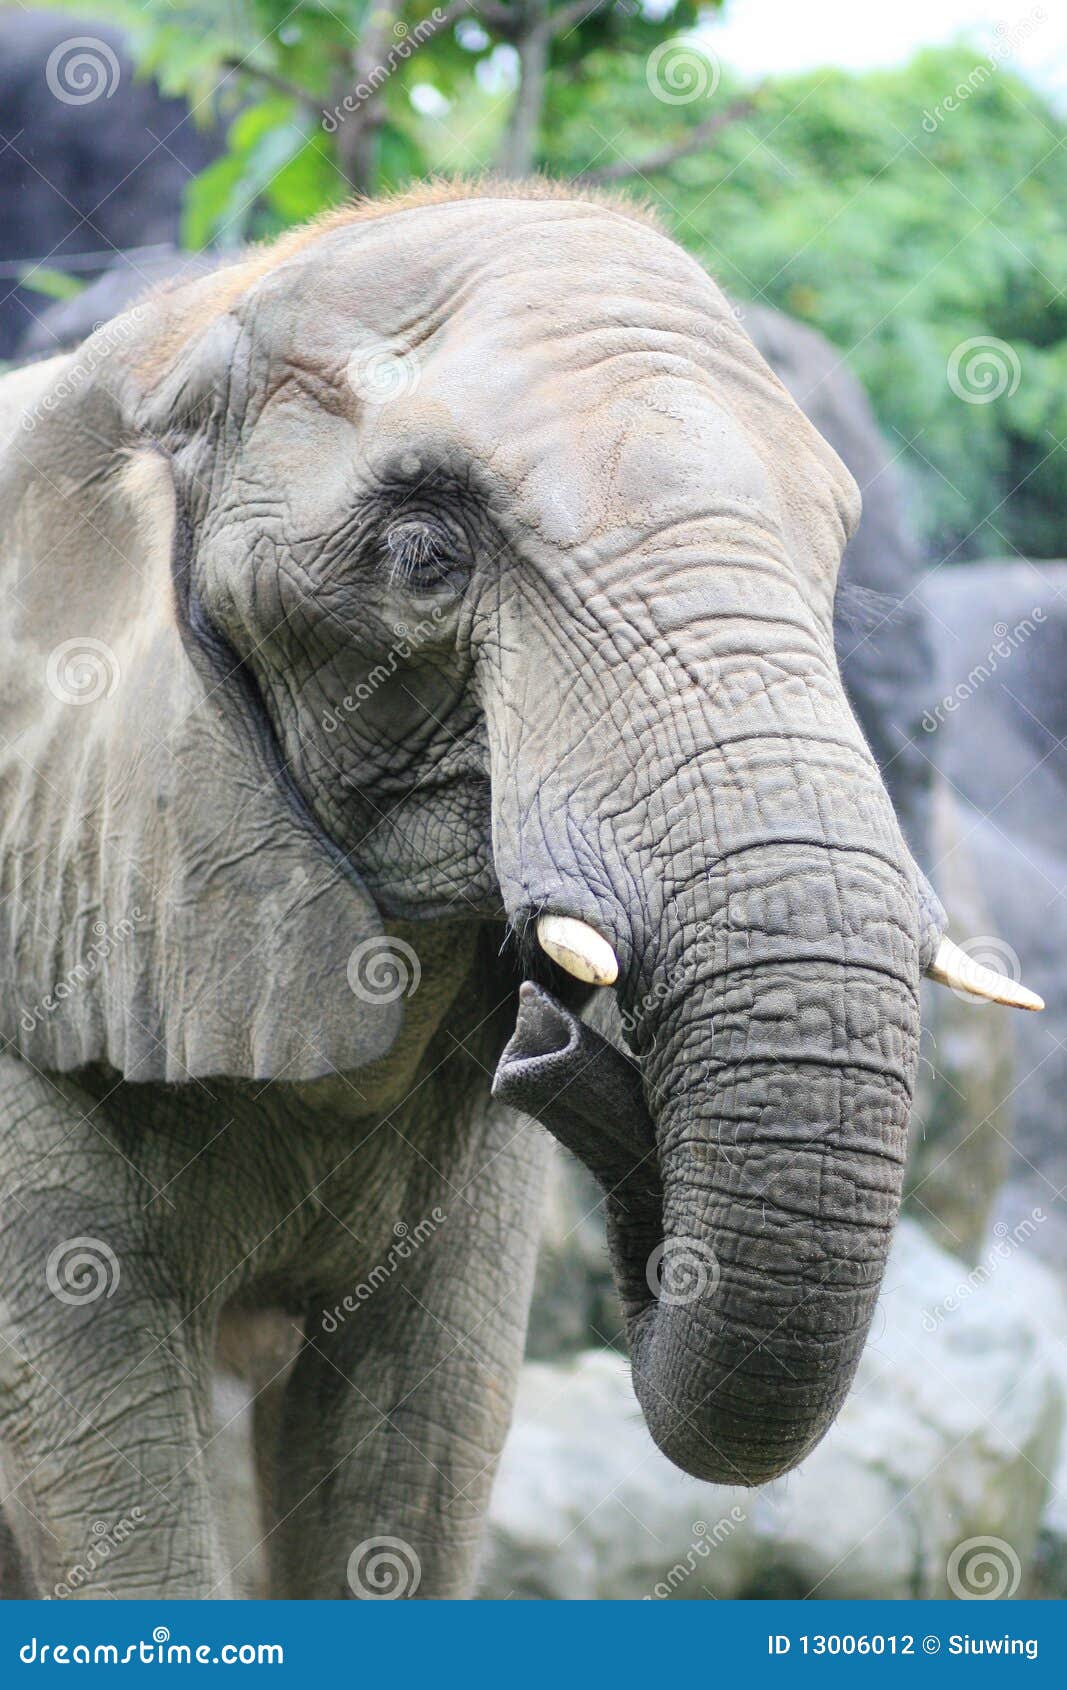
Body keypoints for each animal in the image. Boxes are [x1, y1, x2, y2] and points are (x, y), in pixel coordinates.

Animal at [0, 181, 1036, 1599]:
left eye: (830, 556)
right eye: (423, 554)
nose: (549, 1043)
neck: (165, 342)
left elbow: (411, 1435)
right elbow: (102, 1448)